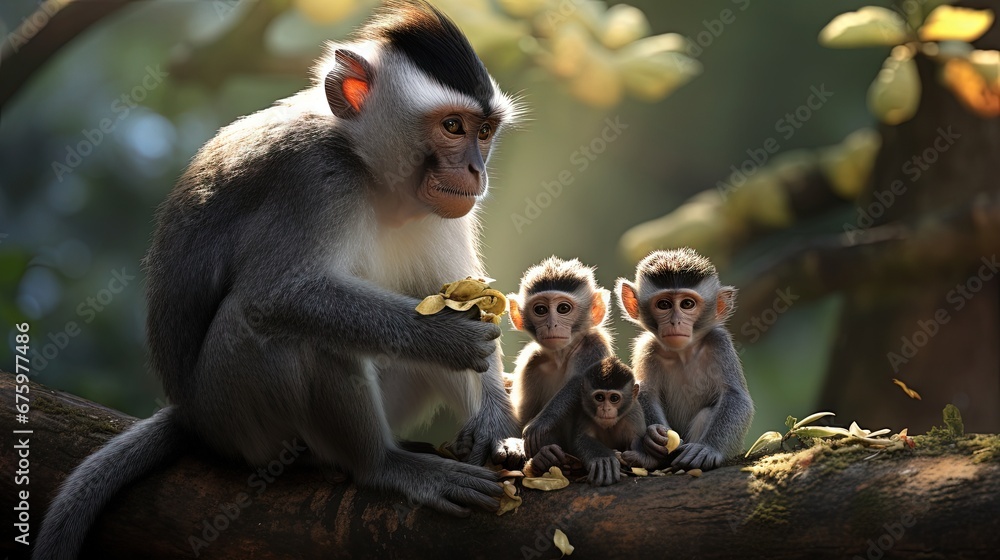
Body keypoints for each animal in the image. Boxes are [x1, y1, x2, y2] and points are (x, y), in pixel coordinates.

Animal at [36, 2, 524, 557]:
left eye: (484, 132)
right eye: (452, 125)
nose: (476, 170)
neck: (373, 175)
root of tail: (192, 417)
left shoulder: (442, 212)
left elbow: (455, 292)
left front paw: (496, 419)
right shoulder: (314, 177)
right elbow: (277, 297)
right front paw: (446, 335)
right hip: (237, 419)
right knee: (297, 335)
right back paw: (382, 464)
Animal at [506, 257, 613, 458]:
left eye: (563, 308)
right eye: (540, 309)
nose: (551, 325)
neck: (560, 356)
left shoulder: (593, 345)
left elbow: (580, 382)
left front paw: (540, 423)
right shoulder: (532, 361)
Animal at [531, 357, 658, 485]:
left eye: (614, 398)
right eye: (599, 397)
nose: (605, 409)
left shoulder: (633, 413)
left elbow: (637, 437)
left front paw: (642, 458)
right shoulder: (585, 412)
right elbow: (582, 438)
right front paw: (603, 459)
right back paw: (545, 457)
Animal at [616, 248, 753, 472]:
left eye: (687, 304)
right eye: (663, 304)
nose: (675, 322)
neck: (683, 353)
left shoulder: (719, 343)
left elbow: (736, 396)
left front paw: (707, 448)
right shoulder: (647, 348)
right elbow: (644, 392)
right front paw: (654, 437)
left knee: (707, 413)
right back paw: (648, 459)